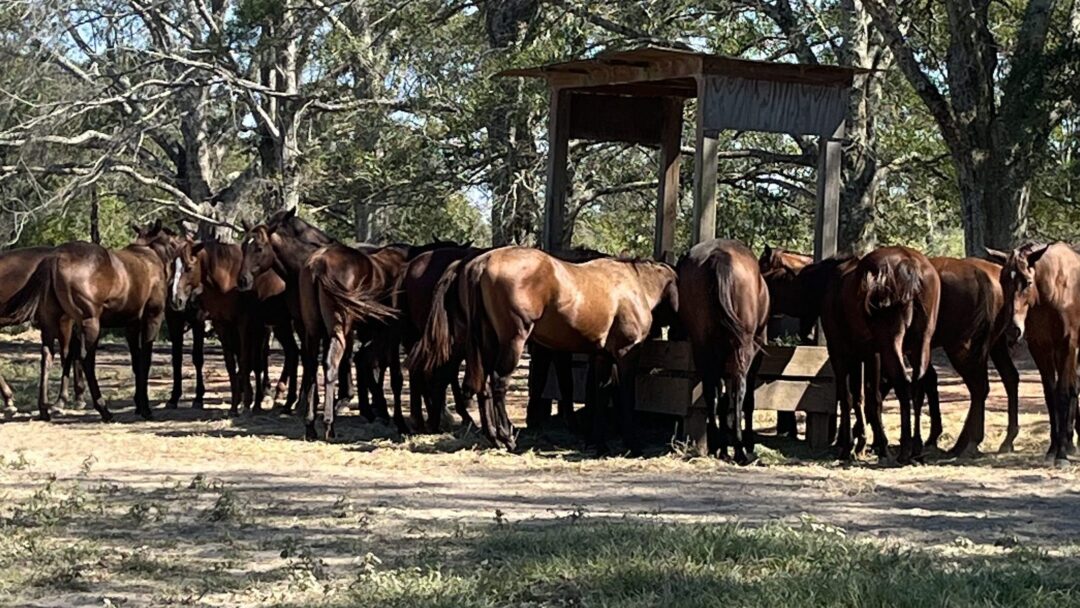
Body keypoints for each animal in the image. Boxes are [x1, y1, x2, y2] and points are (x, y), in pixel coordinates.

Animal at [169, 240, 299, 415]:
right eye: (172, 266)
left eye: (189, 267)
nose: (176, 300)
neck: (226, 281)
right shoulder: (222, 325)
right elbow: (231, 363)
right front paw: (234, 405)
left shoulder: (243, 324)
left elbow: (245, 360)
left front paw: (247, 402)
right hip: (279, 325)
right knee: (293, 352)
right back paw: (285, 399)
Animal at [410, 246, 678, 452]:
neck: (633, 285)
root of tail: (482, 261)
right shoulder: (625, 354)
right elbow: (624, 396)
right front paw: (632, 443)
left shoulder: (602, 357)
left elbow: (601, 395)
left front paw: (598, 442)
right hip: (513, 342)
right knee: (498, 383)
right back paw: (506, 437)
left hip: (486, 344)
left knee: (483, 386)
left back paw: (493, 436)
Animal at [678, 239, 769, 463]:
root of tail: (719, 257)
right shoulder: (756, 351)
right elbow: (746, 399)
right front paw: (747, 443)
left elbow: (721, 396)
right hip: (742, 349)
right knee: (738, 391)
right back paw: (739, 449)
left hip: (702, 346)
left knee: (711, 392)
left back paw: (716, 446)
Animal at [989, 243, 1080, 466]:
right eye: (1003, 281)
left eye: (1027, 282)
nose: (1013, 330)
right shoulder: (1041, 349)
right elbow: (1050, 395)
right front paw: (1053, 449)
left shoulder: (1067, 346)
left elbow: (1063, 393)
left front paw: (1061, 455)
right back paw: (1070, 442)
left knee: (1073, 389)